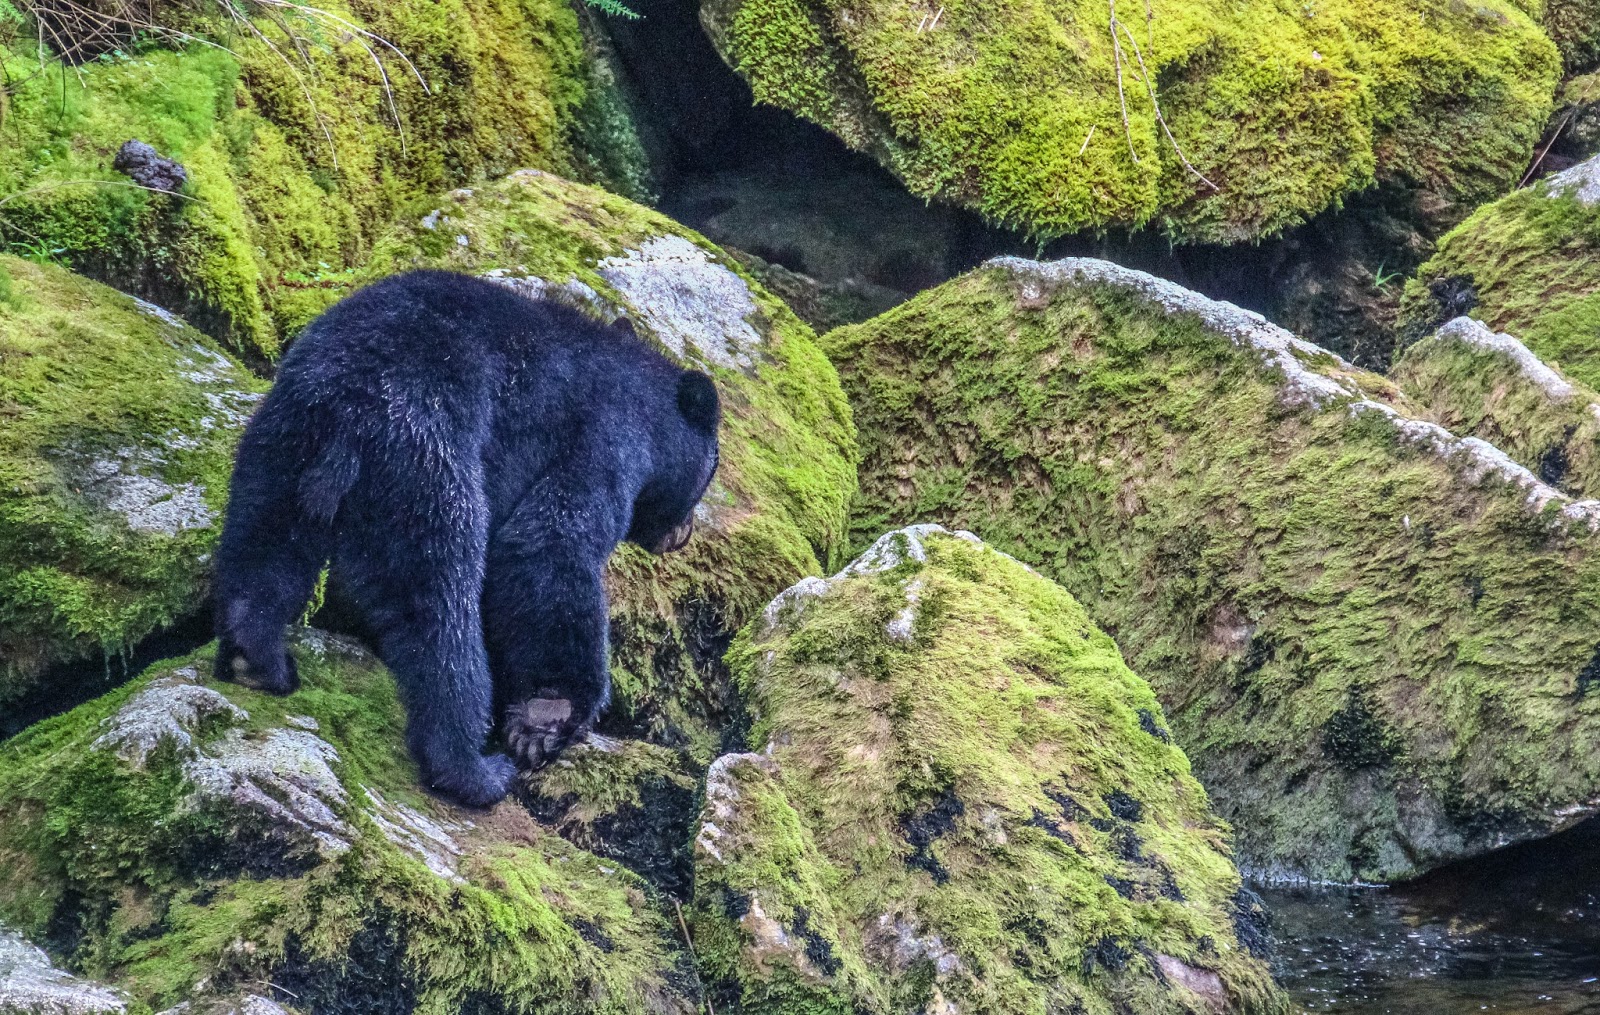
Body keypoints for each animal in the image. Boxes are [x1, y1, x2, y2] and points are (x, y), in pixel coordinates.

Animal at [212, 270, 721, 808]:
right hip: (428, 457)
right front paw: (549, 718)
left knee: (263, 544)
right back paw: (472, 767)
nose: (683, 535)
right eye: (712, 470)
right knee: (442, 608)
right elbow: (545, 545)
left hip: (282, 442)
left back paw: (255, 656)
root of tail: (351, 405)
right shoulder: (602, 444)